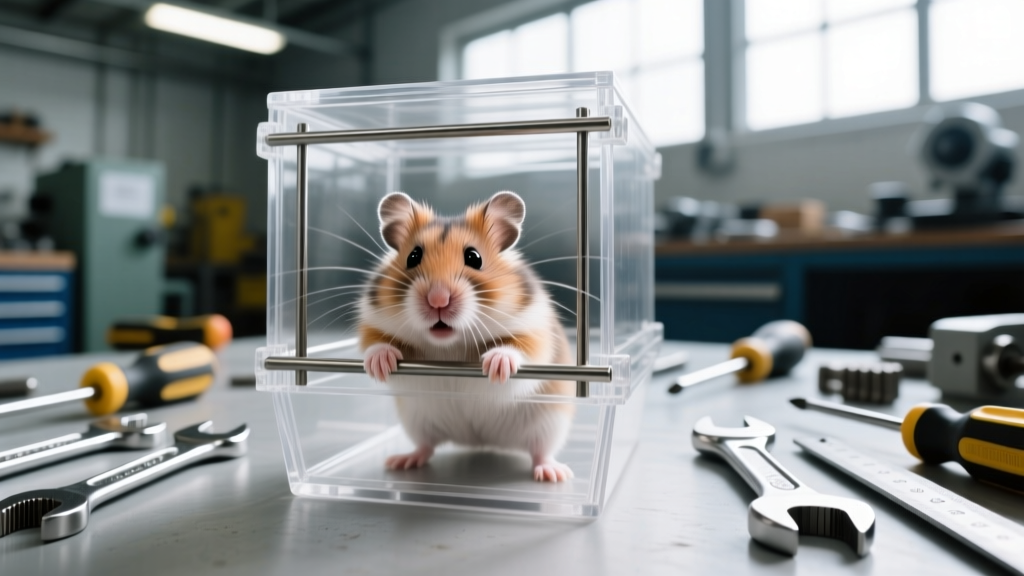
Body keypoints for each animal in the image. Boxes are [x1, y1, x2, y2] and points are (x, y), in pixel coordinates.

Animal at [357, 191, 576, 482]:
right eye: (413, 256)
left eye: (474, 257)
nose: (438, 300)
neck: (450, 344)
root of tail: (481, 442)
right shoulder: (372, 321)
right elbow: (374, 343)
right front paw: (381, 362)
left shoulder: (536, 328)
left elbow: (523, 349)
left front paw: (496, 366)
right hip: (417, 422)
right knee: (426, 446)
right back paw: (400, 461)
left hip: (550, 422)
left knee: (540, 451)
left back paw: (554, 474)